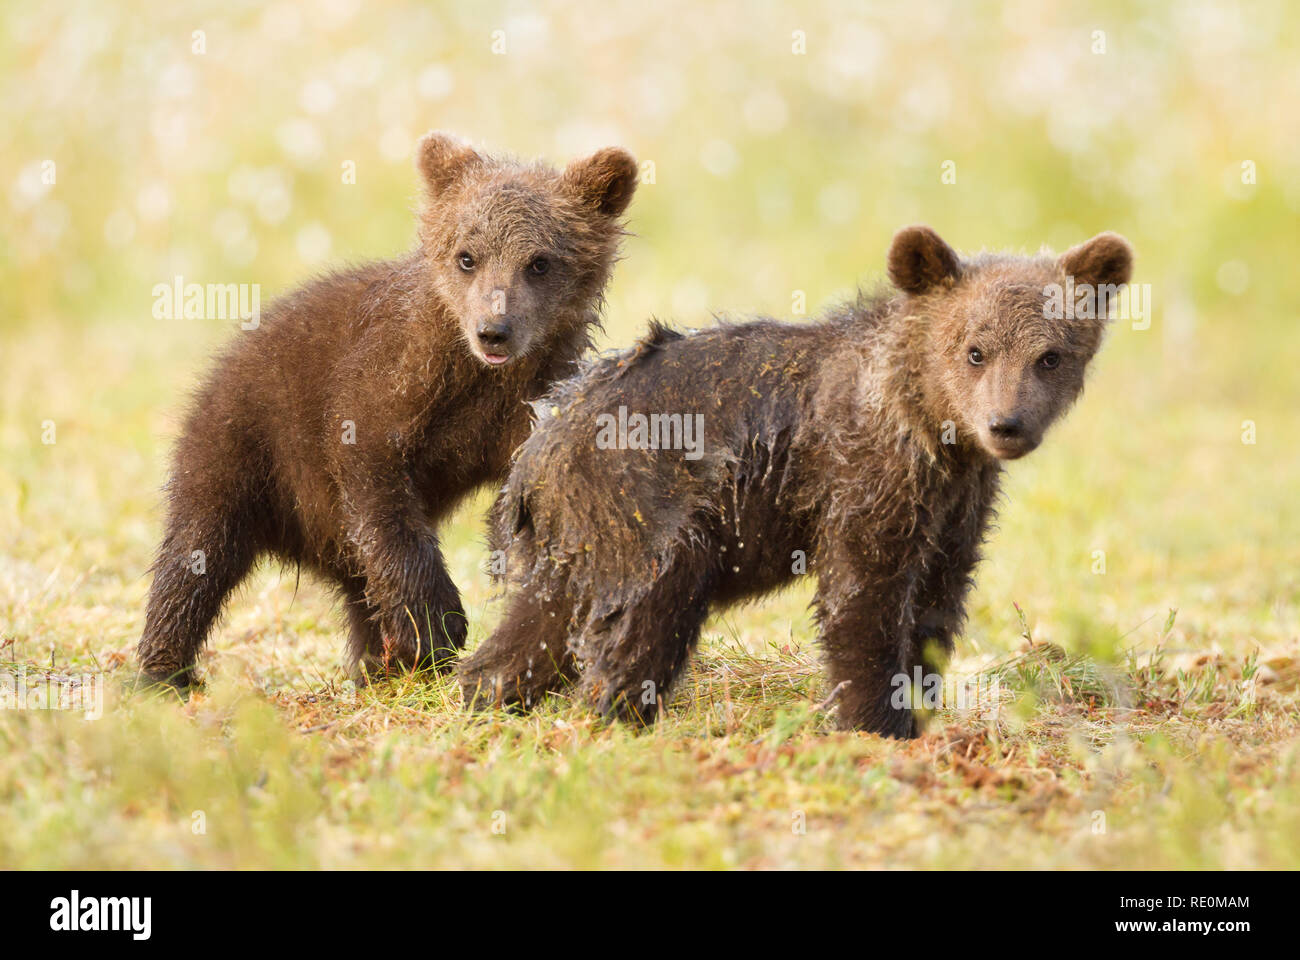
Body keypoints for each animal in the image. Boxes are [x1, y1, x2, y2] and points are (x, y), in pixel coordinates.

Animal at [136, 132, 639, 688]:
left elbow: (528, 495)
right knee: (200, 547)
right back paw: (165, 670)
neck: (479, 377)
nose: (494, 330)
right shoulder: (388, 386)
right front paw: (435, 627)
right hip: (241, 440)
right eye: (467, 256)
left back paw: (375, 661)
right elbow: (381, 497)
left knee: (355, 580)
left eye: (540, 261)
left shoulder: (530, 404)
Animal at [458, 224, 1133, 737]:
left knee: (542, 616)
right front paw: (876, 721)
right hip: (644, 507)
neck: (926, 426)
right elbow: (863, 596)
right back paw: (618, 711)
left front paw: (920, 702)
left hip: (578, 530)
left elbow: (938, 600)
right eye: (974, 351)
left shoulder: (957, 502)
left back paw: (487, 689)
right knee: (644, 612)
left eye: (1050, 356)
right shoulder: (860, 475)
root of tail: (539, 443)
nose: (1006, 424)